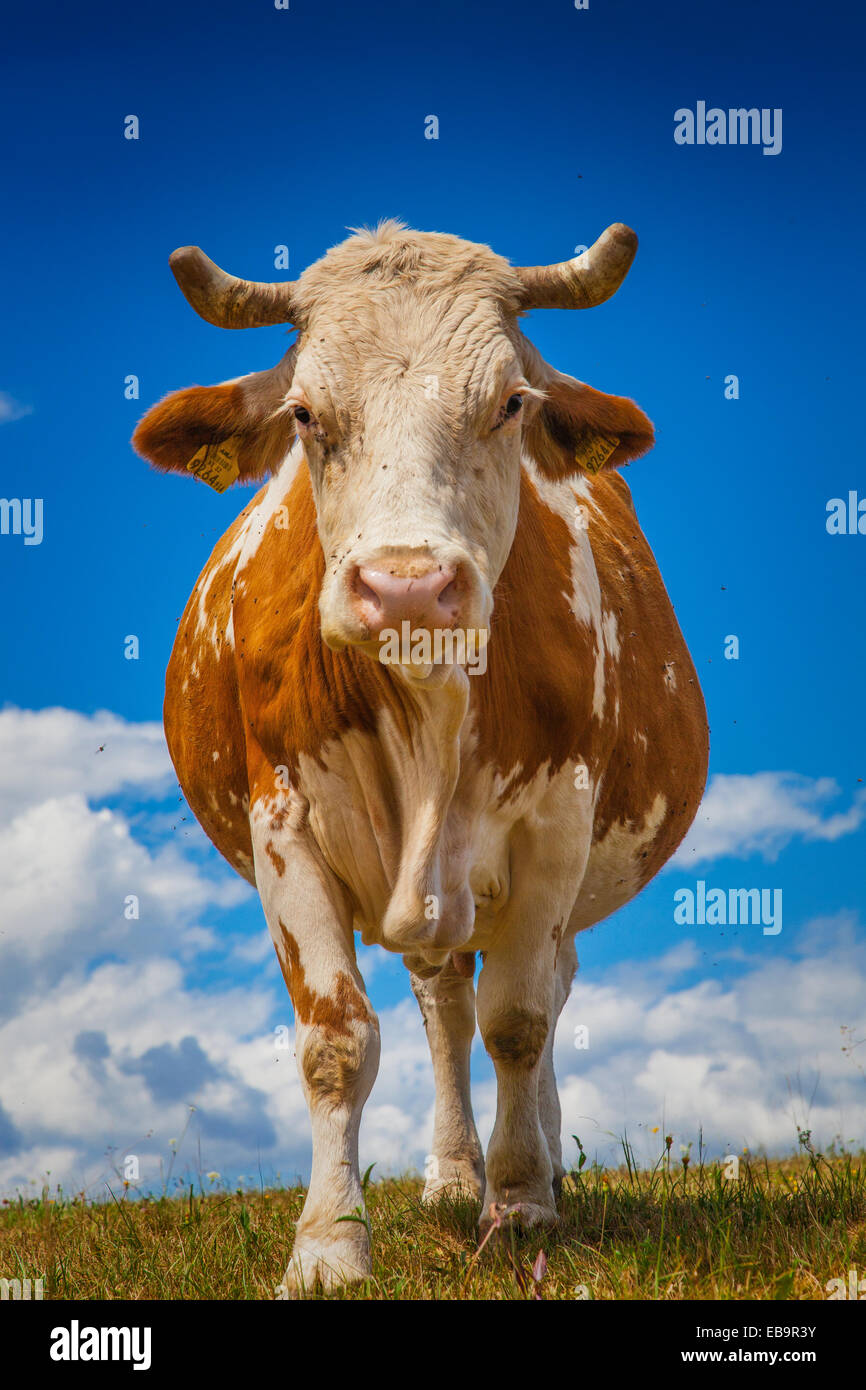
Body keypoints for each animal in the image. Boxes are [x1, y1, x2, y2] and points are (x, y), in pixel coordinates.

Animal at [132, 220, 708, 1295]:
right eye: (306, 414)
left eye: (511, 404)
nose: (406, 587)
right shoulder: (284, 828)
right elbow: (337, 1040)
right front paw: (328, 1243)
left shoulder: (556, 823)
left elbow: (519, 1019)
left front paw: (521, 1206)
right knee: (444, 998)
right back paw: (450, 1178)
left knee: (536, 992)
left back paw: (531, 1171)